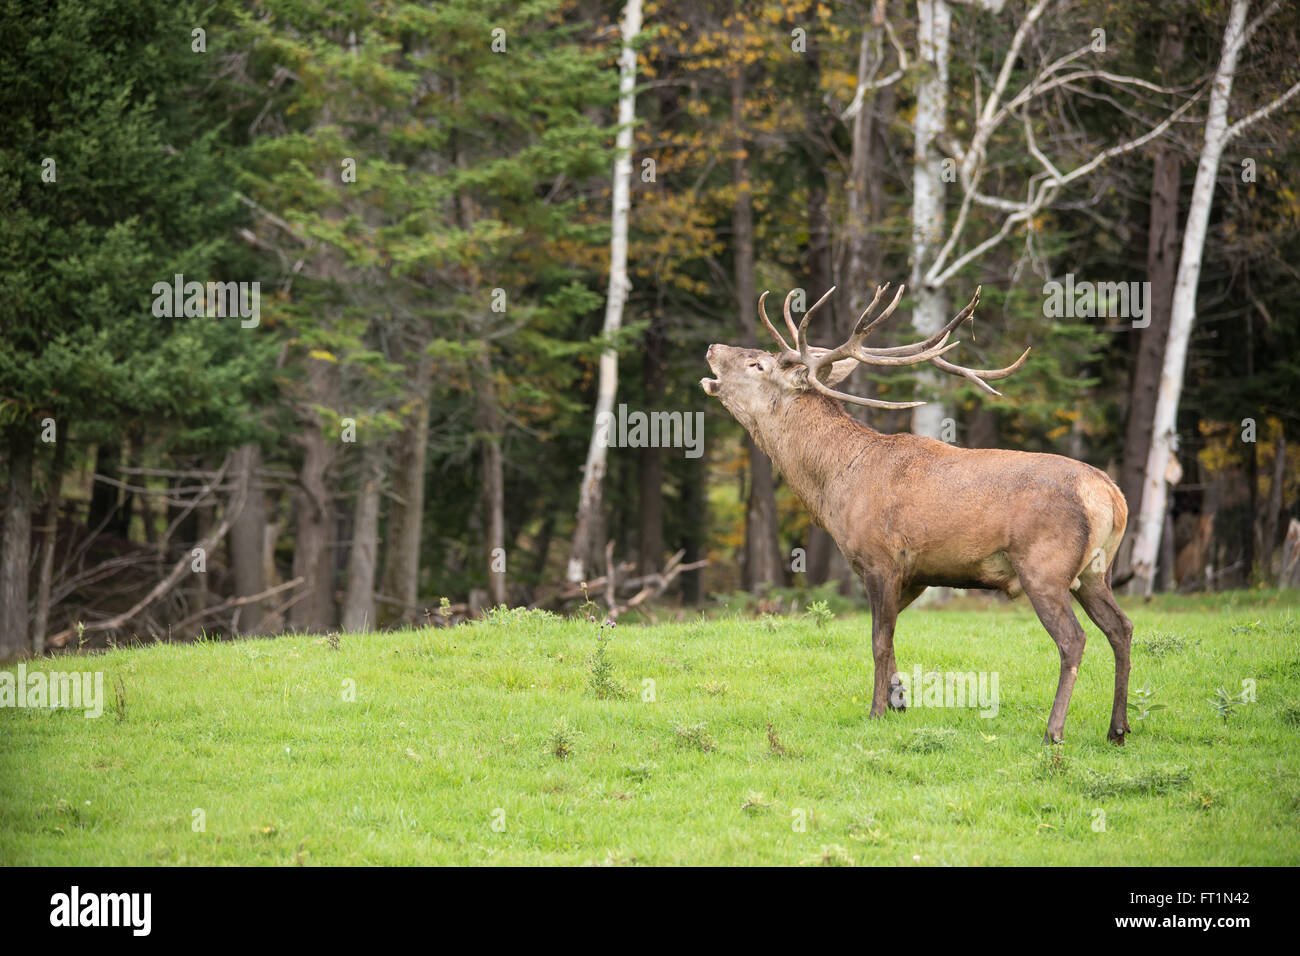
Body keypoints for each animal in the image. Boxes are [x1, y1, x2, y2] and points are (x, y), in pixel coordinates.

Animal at [701, 283, 1134, 745]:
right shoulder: (917, 573)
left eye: (757, 363)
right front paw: (899, 700)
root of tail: (1109, 493)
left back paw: (1054, 730)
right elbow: (890, 639)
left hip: (1045, 567)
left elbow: (878, 640)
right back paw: (1117, 728)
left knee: (1074, 639)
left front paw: (876, 711)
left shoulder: (881, 559)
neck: (835, 485)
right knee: (1121, 627)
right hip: (1095, 572)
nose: (712, 347)